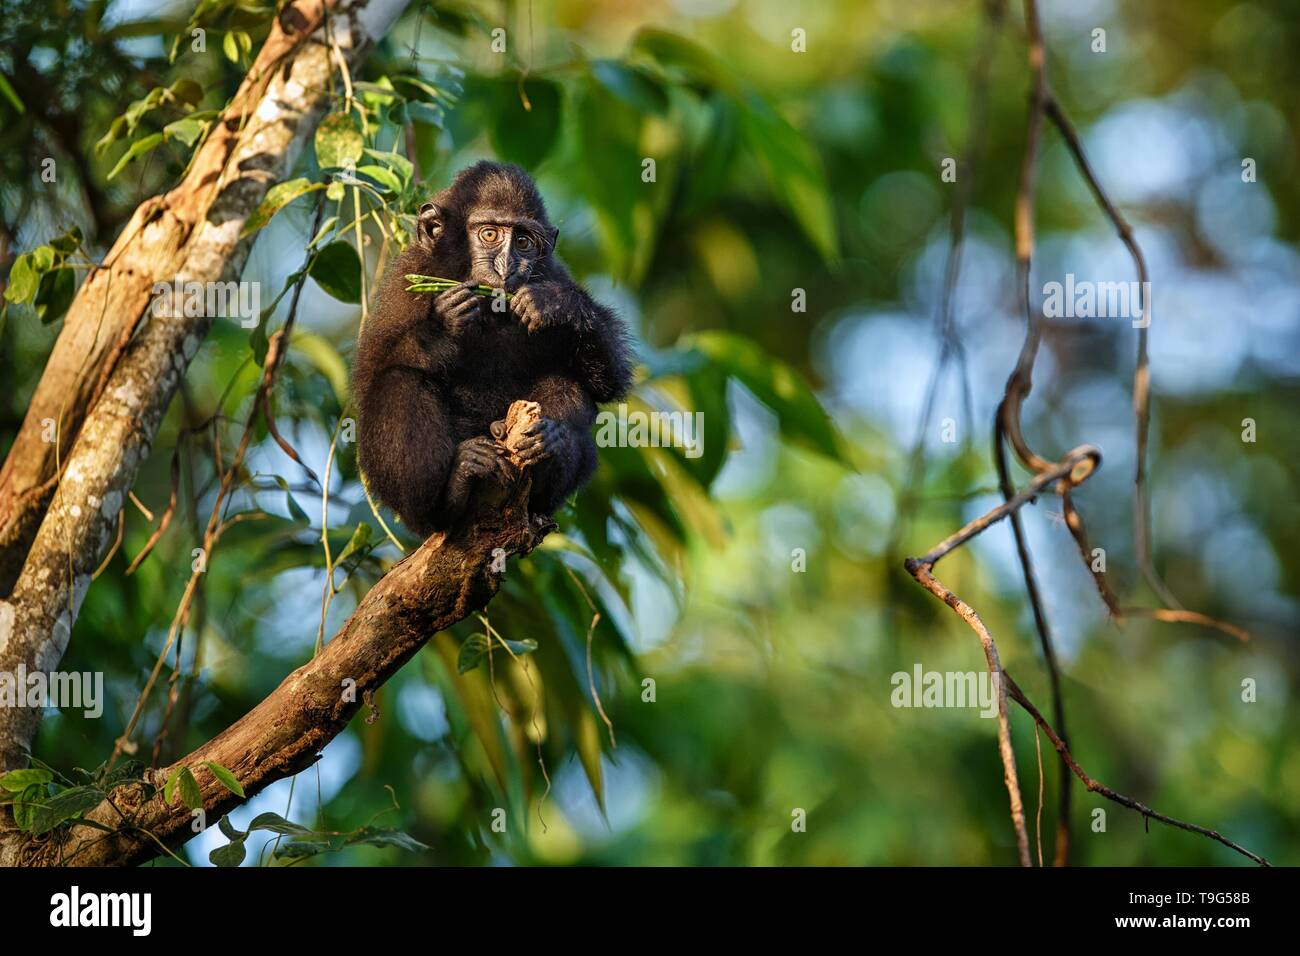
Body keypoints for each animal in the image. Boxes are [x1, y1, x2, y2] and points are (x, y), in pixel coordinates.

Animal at [352, 161, 633, 538]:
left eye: (524, 242)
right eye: (489, 234)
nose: (507, 267)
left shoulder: (553, 272)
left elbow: (610, 380)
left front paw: (557, 305)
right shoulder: (407, 280)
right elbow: (373, 369)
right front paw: (447, 320)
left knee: (568, 383)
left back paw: (544, 448)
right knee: (400, 381)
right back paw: (453, 491)